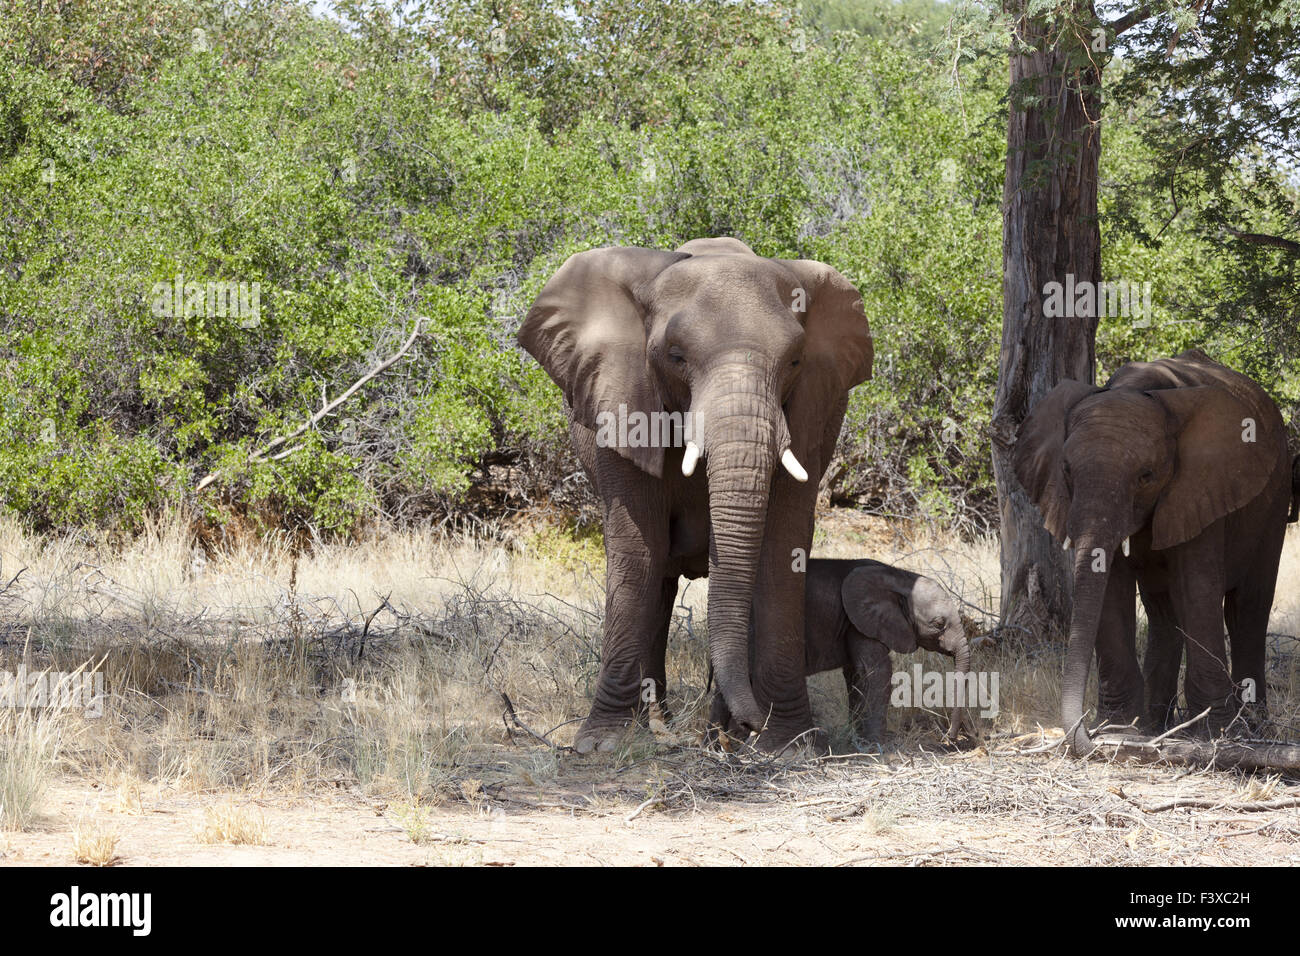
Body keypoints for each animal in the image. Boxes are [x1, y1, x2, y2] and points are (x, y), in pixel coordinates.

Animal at [518, 237, 873, 753]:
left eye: (794, 361)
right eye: (676, 355)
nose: (748, 725)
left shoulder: (812, 419)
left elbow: (781, 552)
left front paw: (788, 743)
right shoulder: (621, 404)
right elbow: (637, 549)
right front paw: (603, 745)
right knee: (659, 578)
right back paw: (661, 727)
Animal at [708, 558, 973, 748]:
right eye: (938, 624)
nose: (948, 739)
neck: (900, 577)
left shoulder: (855, 622)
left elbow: (856, 675)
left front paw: (857, 739)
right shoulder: (859, 620)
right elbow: (877, 672)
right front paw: (877, 747)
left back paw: (716, 745)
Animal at [1013, 348, 1291, 756]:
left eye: (1146, 476)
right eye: (1066, 470)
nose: (1085, 734)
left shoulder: (1202, 484)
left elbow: (1197, 588)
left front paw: (1215, 734)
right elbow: (1111, 587)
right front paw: (1118, 729)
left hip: (1275, 501)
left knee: (1248, 607)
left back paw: (1252, 726)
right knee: (1164, 611)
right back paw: (1156, 725)